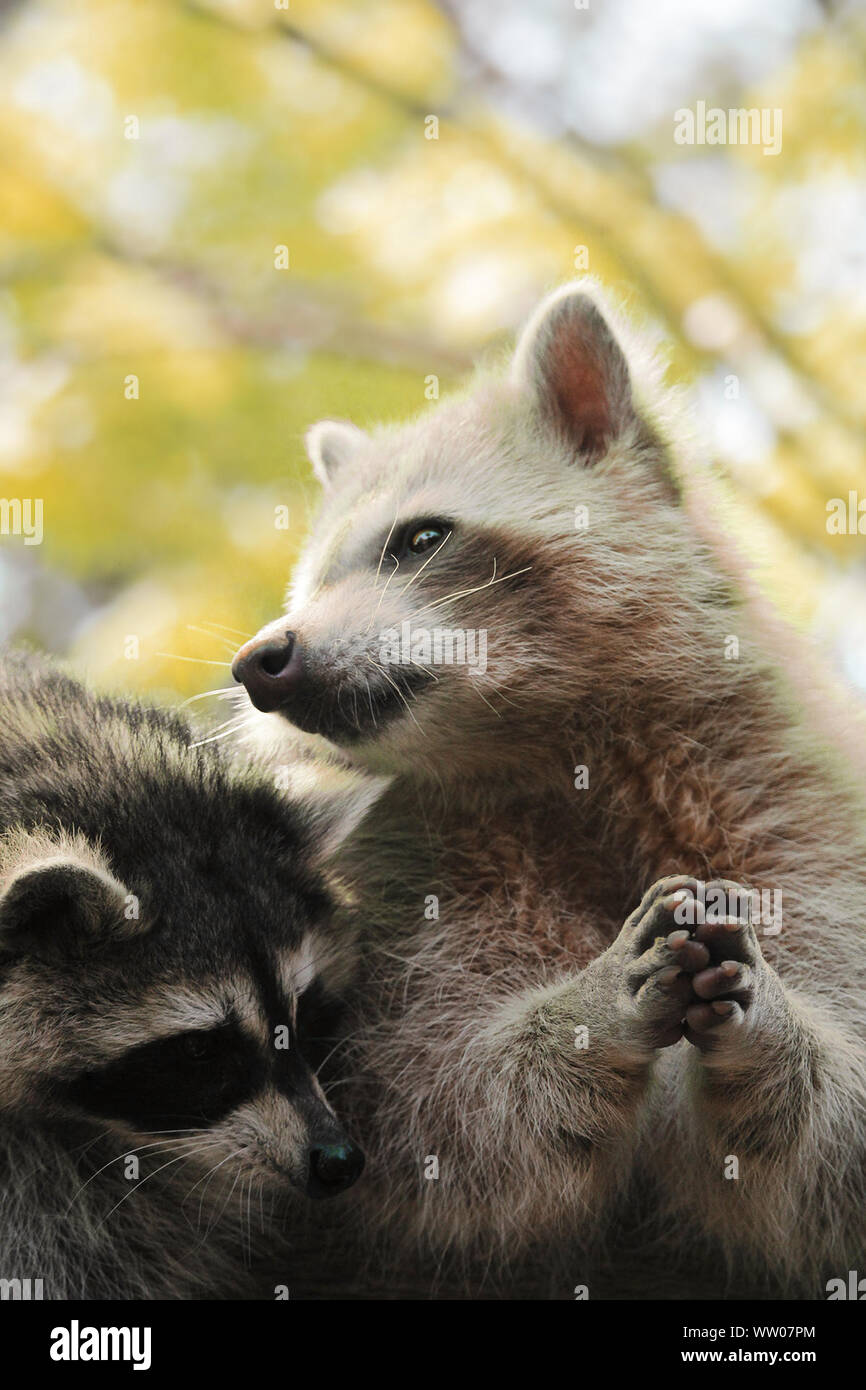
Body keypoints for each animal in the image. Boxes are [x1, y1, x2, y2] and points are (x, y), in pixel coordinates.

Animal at [233, 281, 866, 1299]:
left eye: (421, 539)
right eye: (310, 583)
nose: (262, 660)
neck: (549, 751)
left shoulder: (794, 814)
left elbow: (832, 1159)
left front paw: (777, 1032)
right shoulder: (415, 883)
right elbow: (428, 1129)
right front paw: (582, 1015)